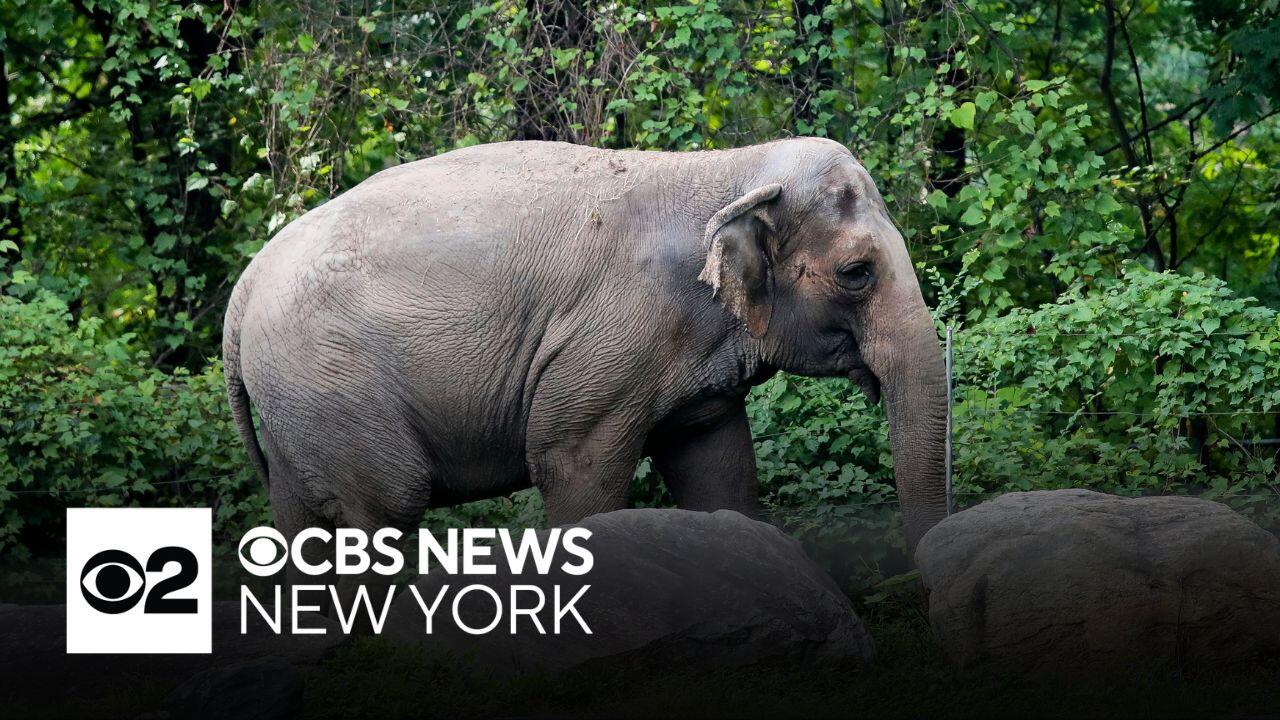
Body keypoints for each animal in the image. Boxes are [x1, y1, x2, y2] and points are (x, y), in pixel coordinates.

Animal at [223, 137, 948, 560]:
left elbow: (718, 466)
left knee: (300, 518)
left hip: (300, 407)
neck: (725, 167)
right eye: (856, 273)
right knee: (385, 506)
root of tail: (244, 289)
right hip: (331, 385)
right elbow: (573, 465)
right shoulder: (610, 342)